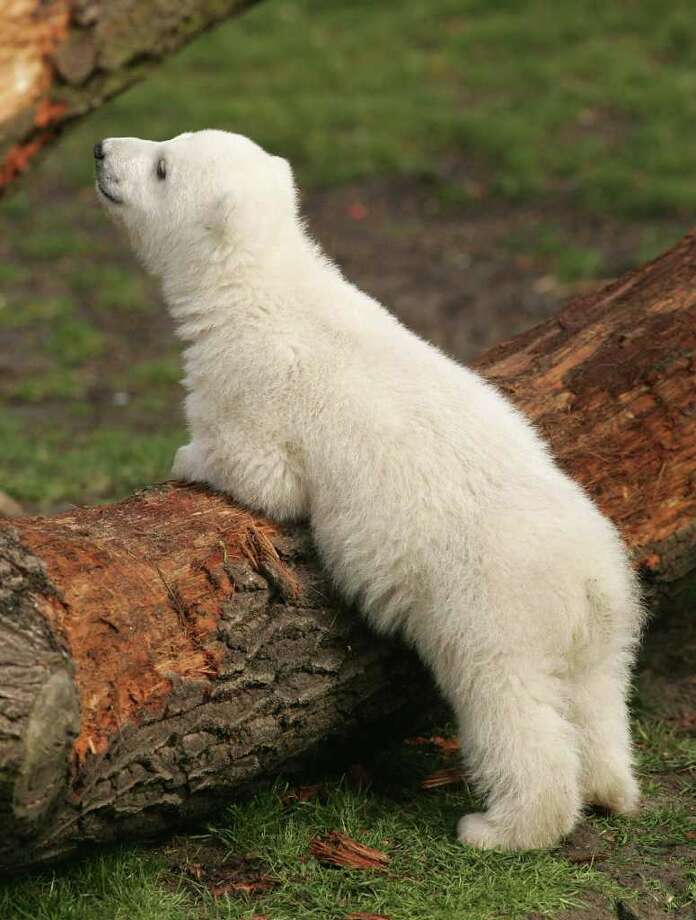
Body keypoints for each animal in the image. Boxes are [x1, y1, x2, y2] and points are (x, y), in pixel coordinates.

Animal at [95, 129, 644, 850]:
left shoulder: (254, 380)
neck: (259, 285)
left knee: (509, 703)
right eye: (167, 142)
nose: (102, 149)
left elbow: (263, 477)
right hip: (602, 620)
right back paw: (612, 790)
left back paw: (498, 828)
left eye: (161, 167)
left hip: (492, 605)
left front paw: (187, 456)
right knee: (599, 694)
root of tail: (590, 580)